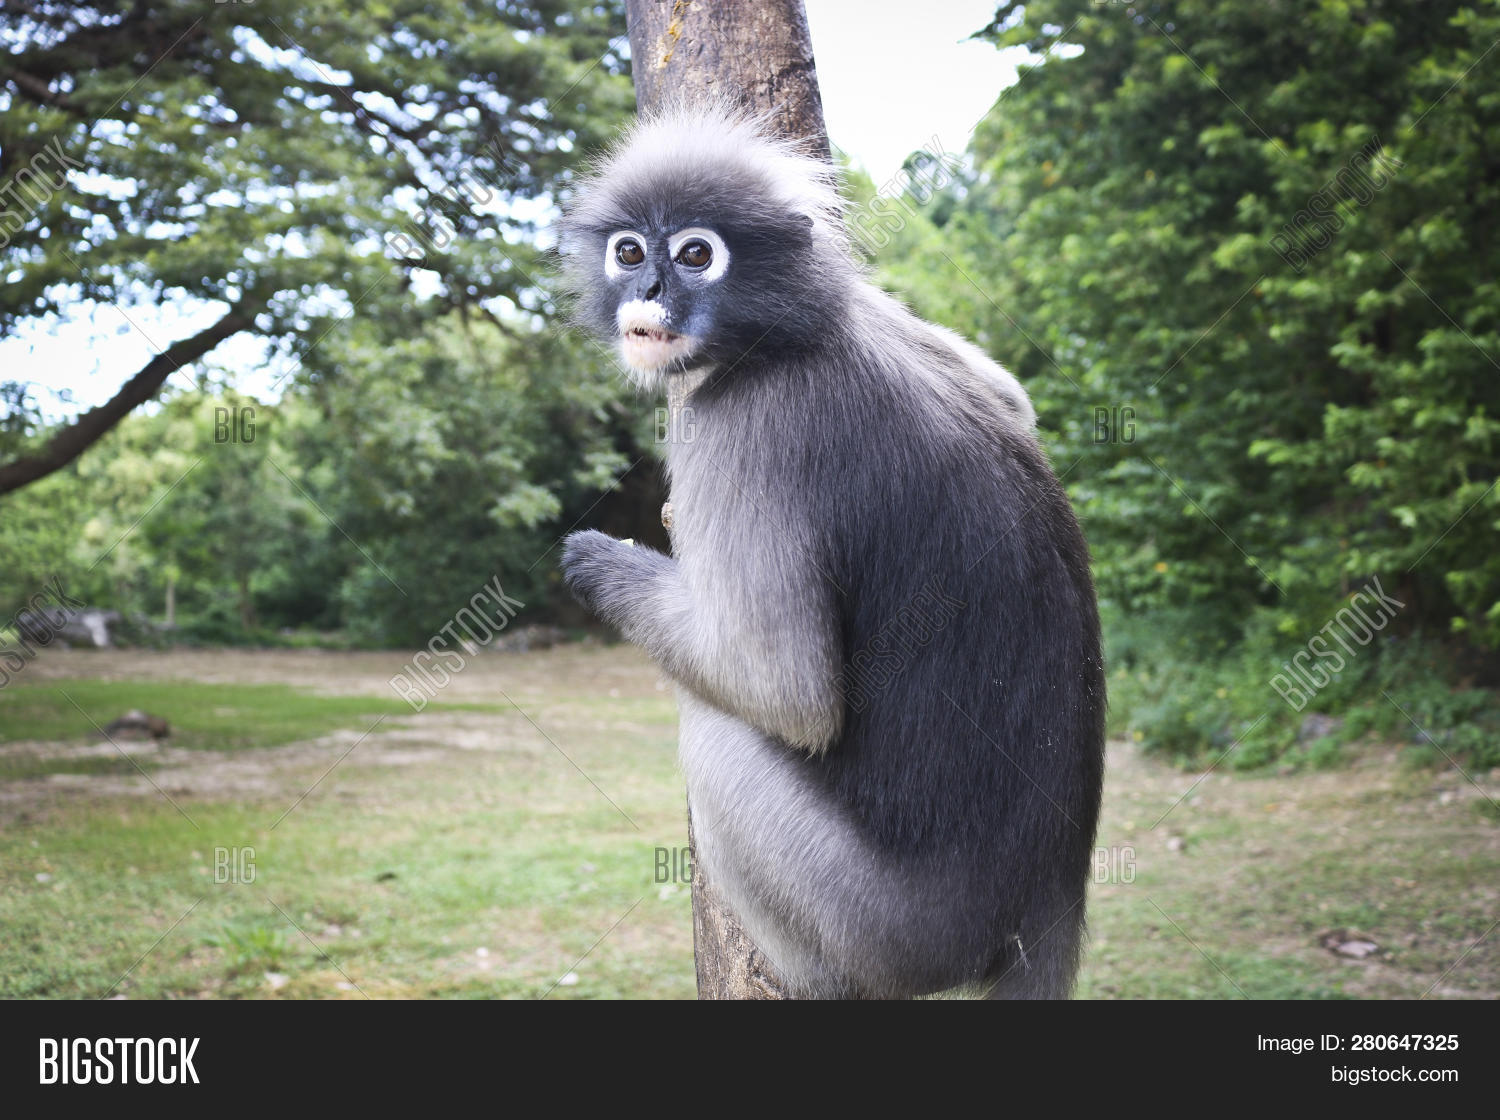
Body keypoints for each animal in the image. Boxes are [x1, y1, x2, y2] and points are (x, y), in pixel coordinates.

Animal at [556, 105, 1105, 999]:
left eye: (696, 255)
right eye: (630, 252)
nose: (647, 294)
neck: (790, 337)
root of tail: (1051, 897)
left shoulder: (740, 424)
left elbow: (783, 688)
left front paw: (595, 558)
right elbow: (1014, 397)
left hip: (878, 927)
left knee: (712, 729)